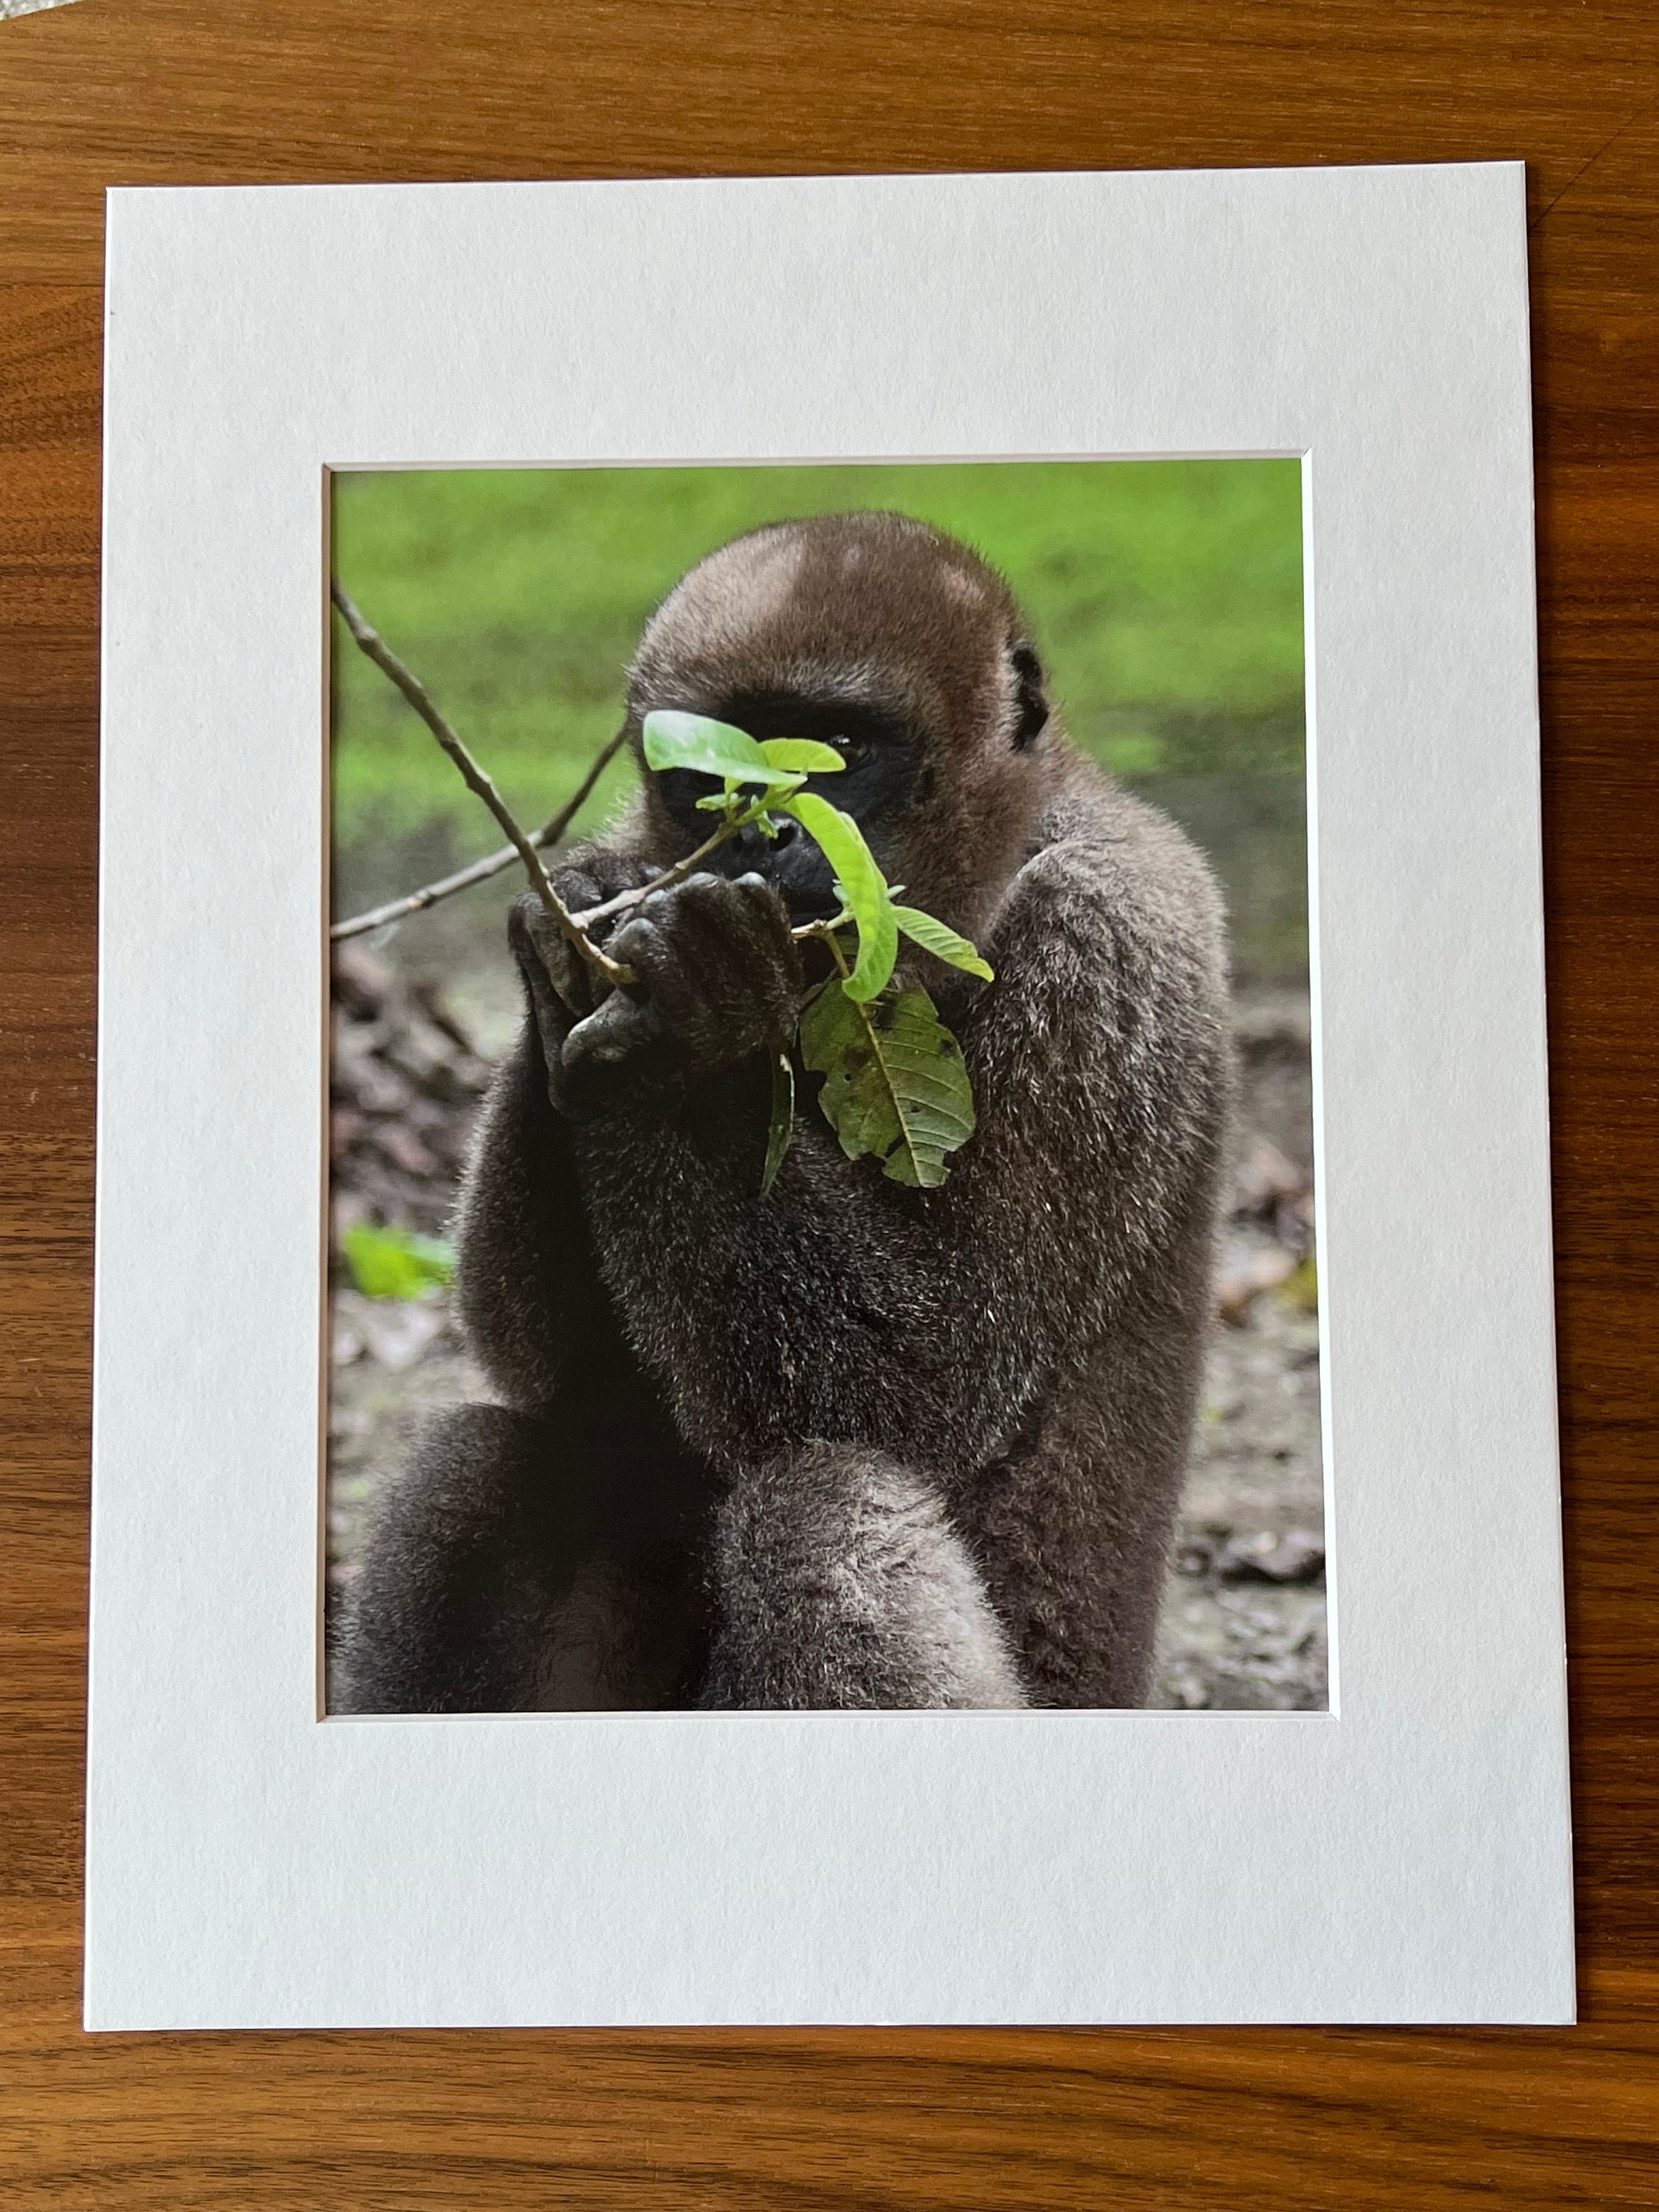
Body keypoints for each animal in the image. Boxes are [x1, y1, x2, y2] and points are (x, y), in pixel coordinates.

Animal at [337, 511, 1232, 1714]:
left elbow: (931, 1388)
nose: (762, 834)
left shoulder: (1114, 934)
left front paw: (692, 1035)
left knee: (827, 1505)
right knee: (502, 1459)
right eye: (696, 774)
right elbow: (564, 1379)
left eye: (839, 750)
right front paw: (570, 964)